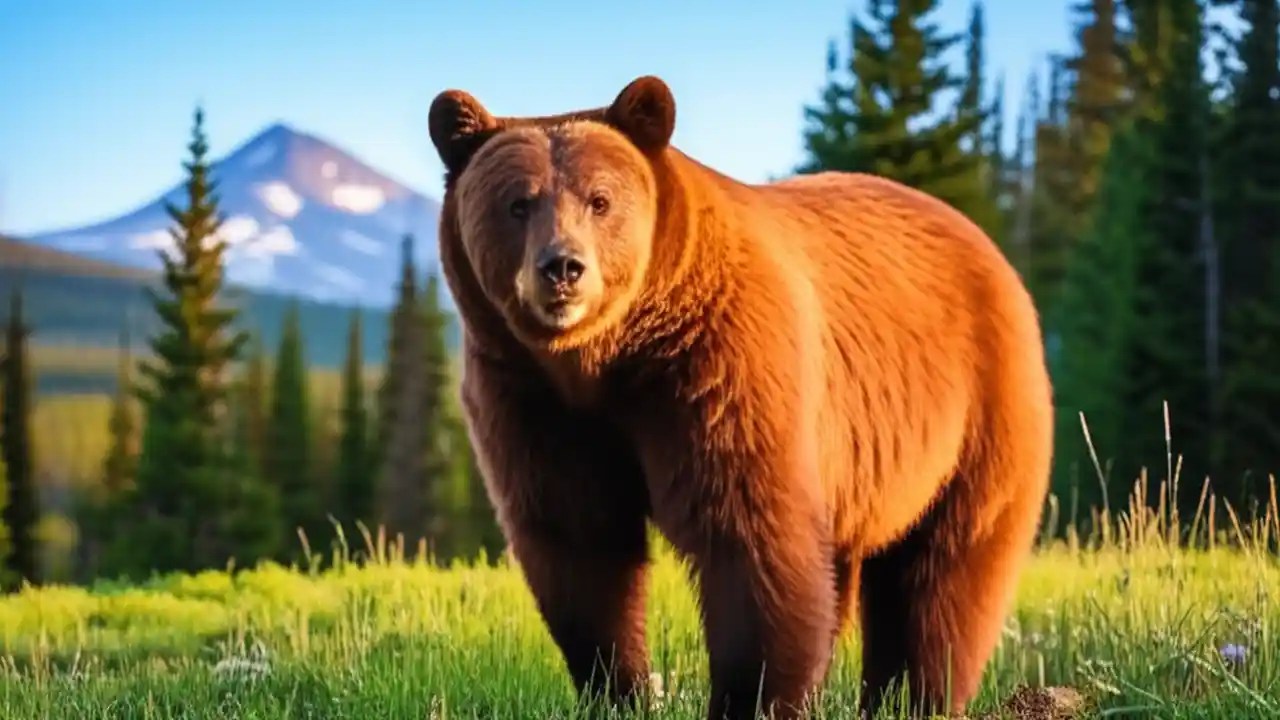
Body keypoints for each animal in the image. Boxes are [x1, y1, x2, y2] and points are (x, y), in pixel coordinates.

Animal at [426, 75, 1054, 720]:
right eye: (517, 203)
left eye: (599, 200)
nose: (563, 267)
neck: (606, 356)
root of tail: (987, 247)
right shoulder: (530, 395)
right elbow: (579, 542)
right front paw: (616, 688)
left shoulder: (717, 366)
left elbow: (751, 538)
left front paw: (749, 696)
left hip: (974, 415)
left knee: (942, 573)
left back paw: (913, 695)